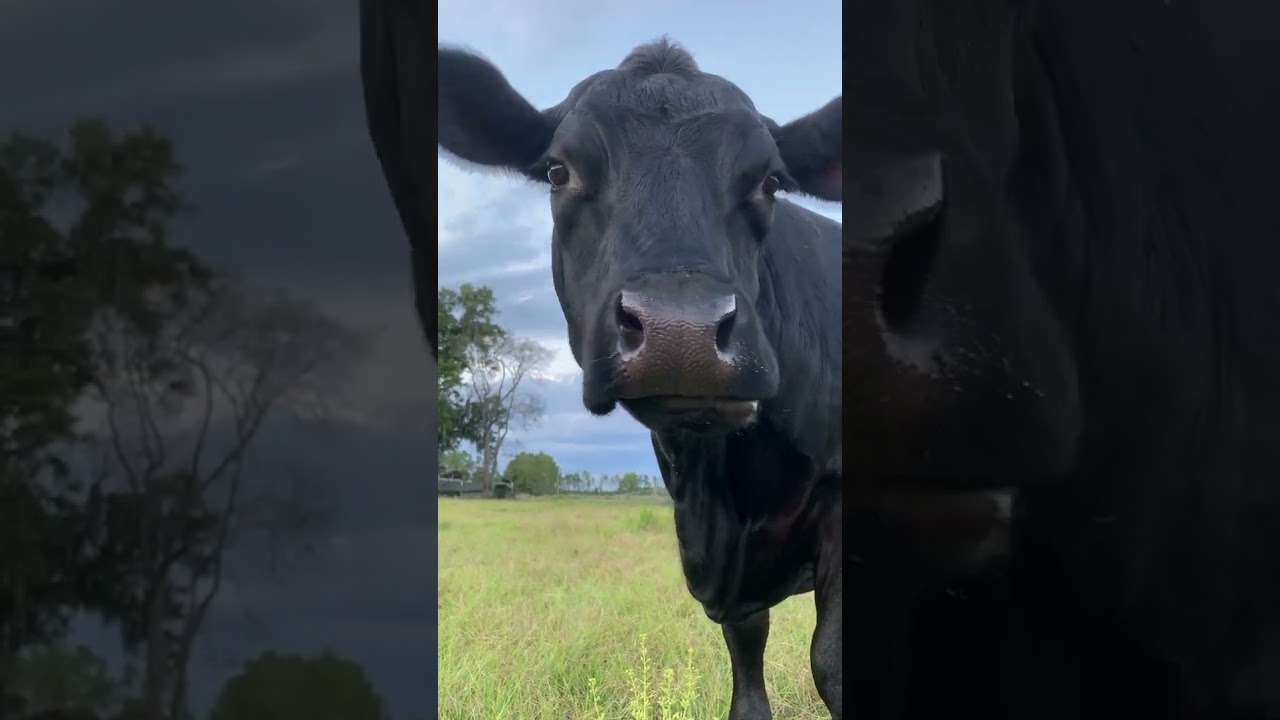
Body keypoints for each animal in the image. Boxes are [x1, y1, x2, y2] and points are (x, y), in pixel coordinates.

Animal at [434, 38, 844, 718]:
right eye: (558, 171)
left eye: (771, 180)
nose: (683, 333)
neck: (723, 496)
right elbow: (747, 655)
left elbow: (830, 659)